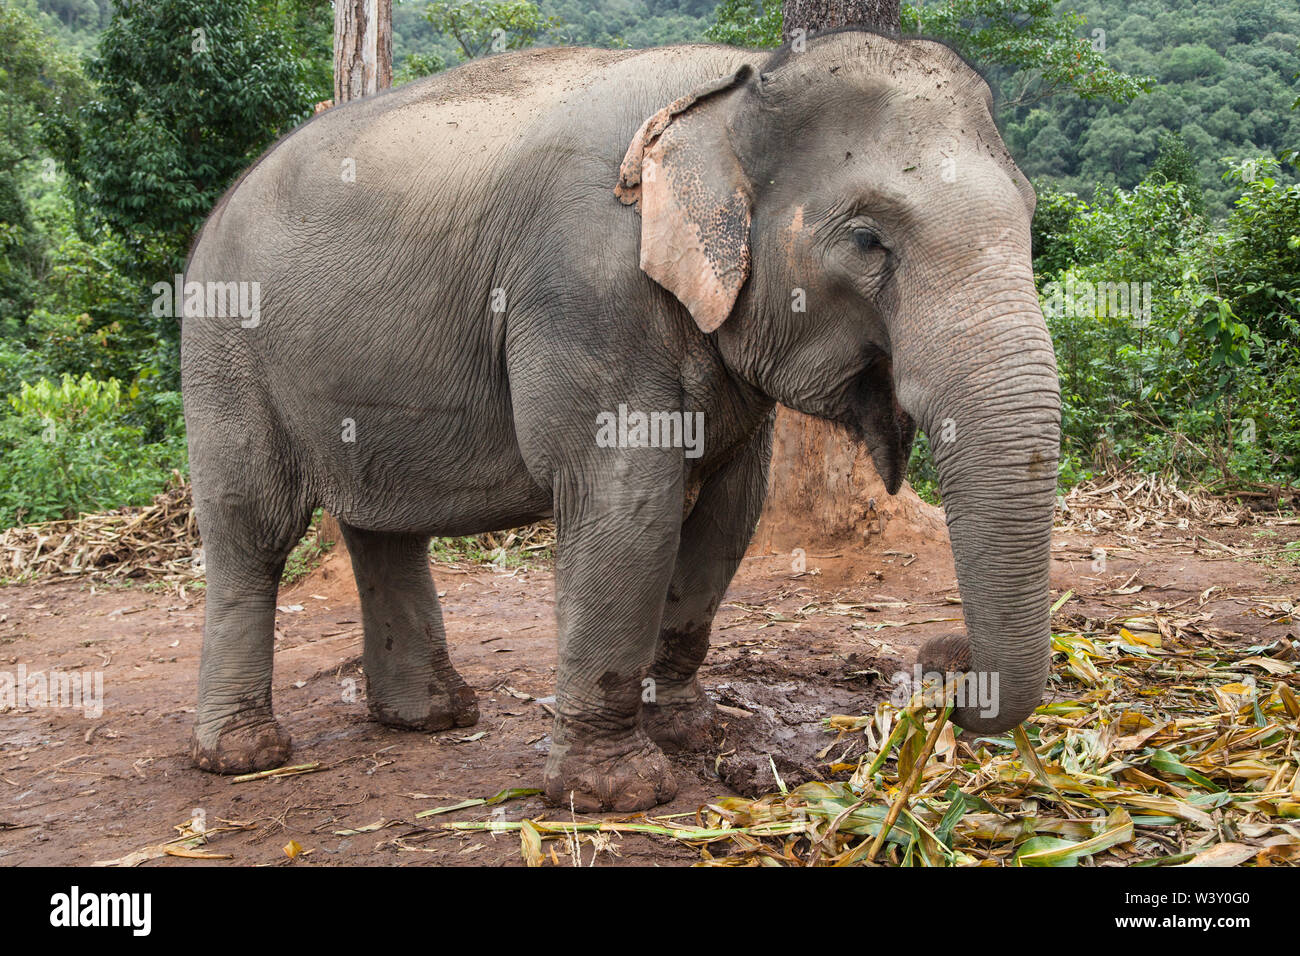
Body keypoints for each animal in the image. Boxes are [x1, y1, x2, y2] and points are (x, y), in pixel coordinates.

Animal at [181, 27, 1060, 811]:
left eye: (1029, 214)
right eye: (869, 239)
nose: (943, 666)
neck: (737, 86)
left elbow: (731, 511)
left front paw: (689, 730)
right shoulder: (584, 291)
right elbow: (629, 504)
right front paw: (617, 792)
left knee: (382, 527)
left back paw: (432, 718)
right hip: (226, 343)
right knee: (252, 526)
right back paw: (244, 755)